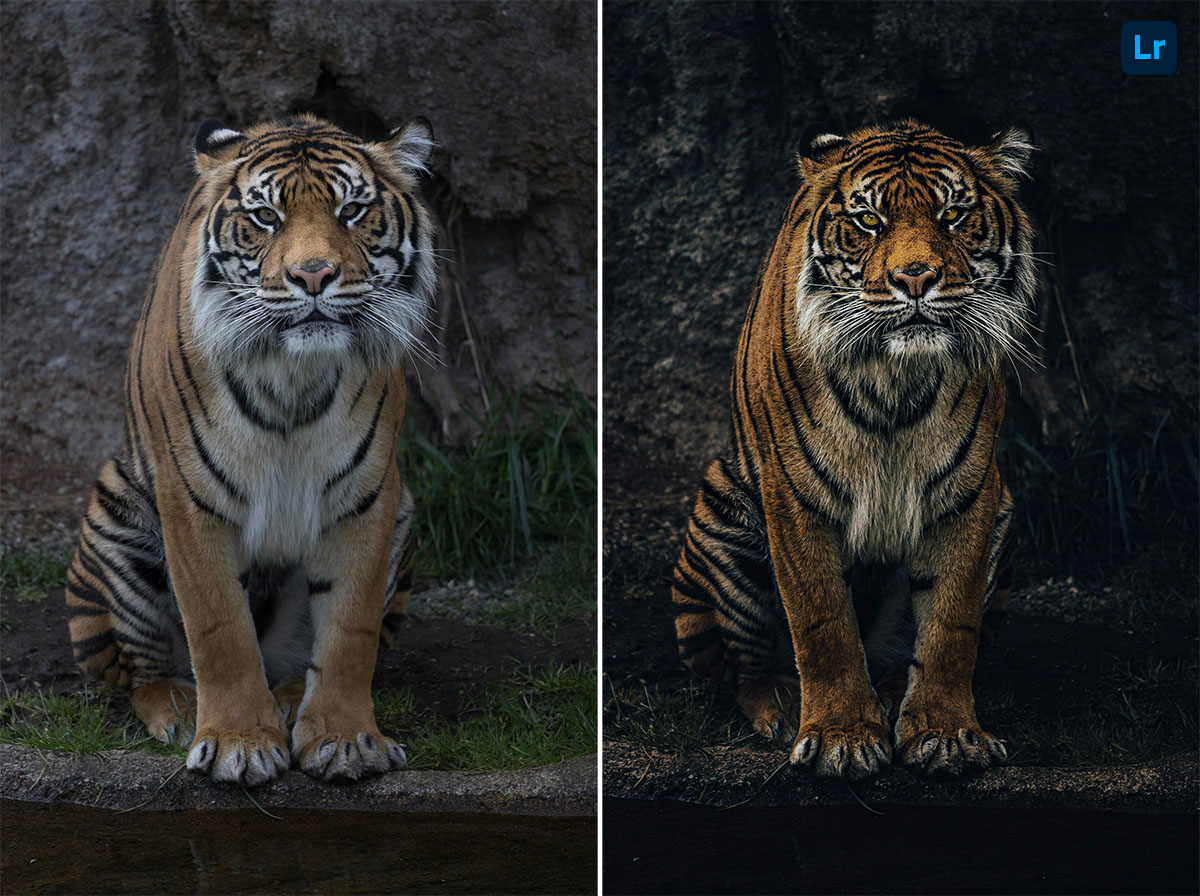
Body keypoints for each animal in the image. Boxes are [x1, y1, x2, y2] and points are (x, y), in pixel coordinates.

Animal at [65, 113, 437, 786]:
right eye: (266, 217)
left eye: (351, 210)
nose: (313, 275)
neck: (294, 375)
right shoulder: (189, 497)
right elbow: (218, 628)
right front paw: (236, 743)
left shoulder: (368, 497)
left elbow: (351, 630)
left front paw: (346, 740)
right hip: (116, 517)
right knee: (139, 674)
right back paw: (179, 708)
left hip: (405, 517)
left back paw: (290, 701)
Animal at [671, 119, 1035, 780]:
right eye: (869, 220)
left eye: (952, 214)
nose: (915, 277)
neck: (895, 377)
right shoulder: (792, 494)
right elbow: (822, 624)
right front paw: (839, 739)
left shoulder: (970, 494)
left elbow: (951, 625)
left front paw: (946, 735)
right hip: (723, 513)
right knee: (743, 672)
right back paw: (782, 709)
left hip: (1005, 513)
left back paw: (892, 699)